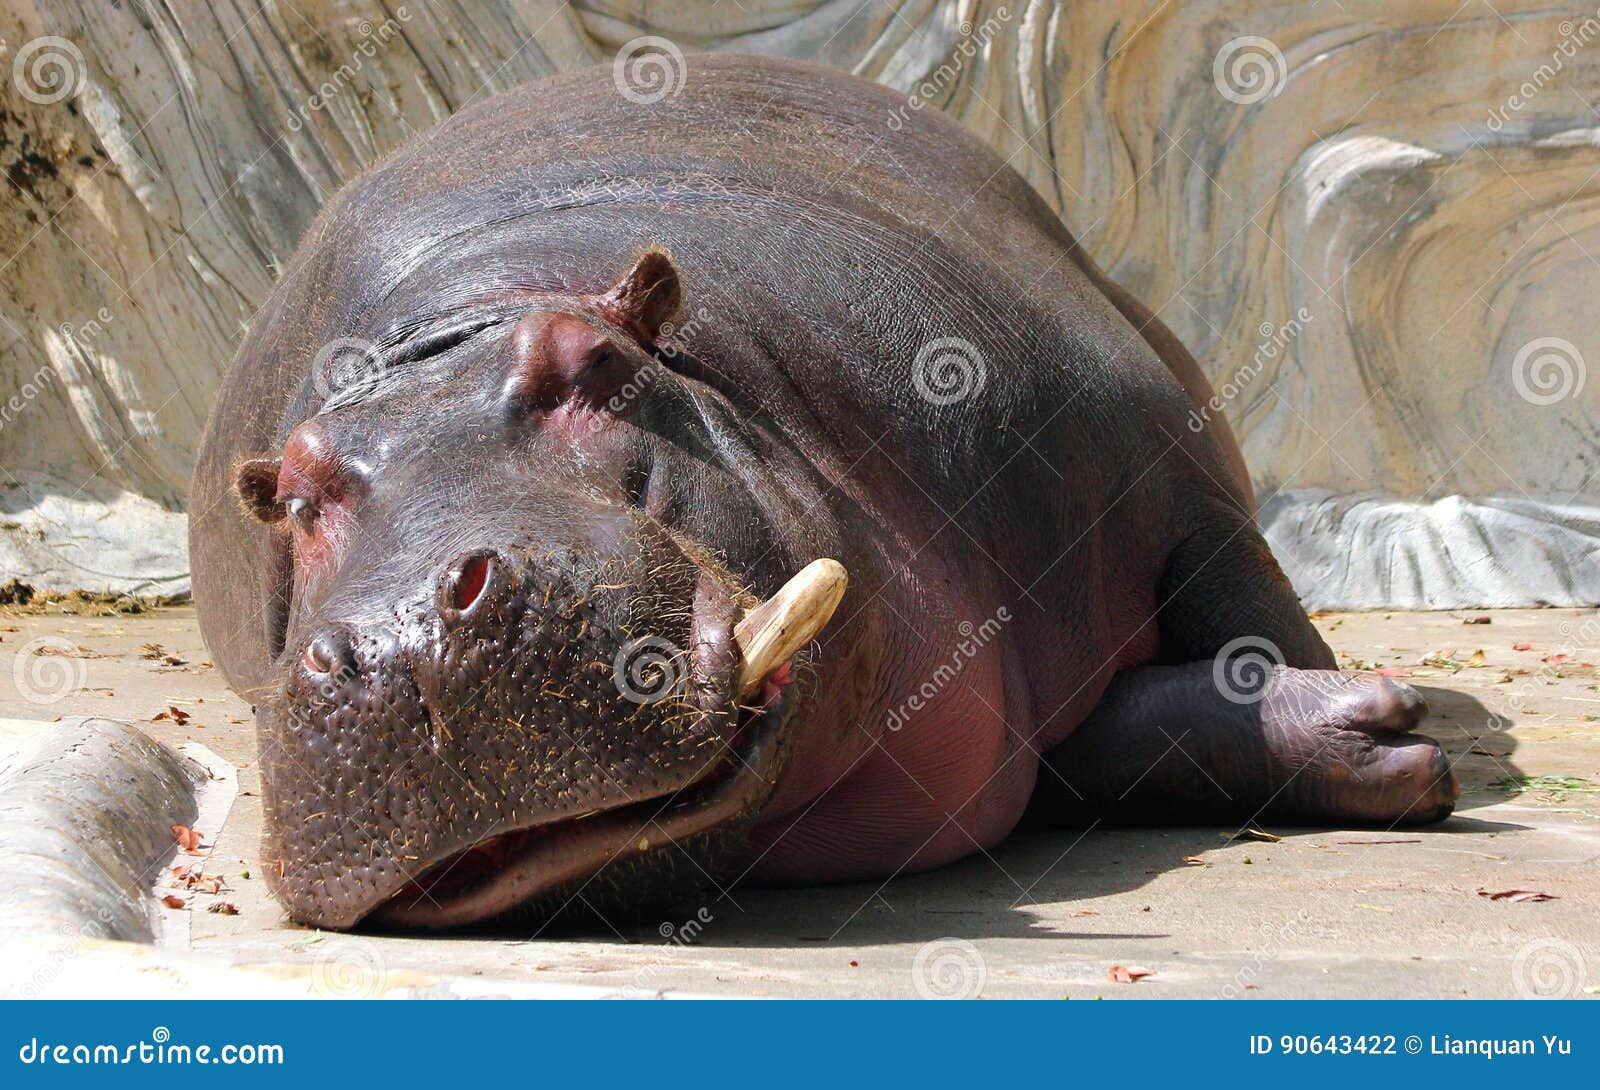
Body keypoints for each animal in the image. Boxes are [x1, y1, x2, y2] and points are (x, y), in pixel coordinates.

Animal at [189, 54, 1457, 931]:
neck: (457, 325)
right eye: (289, 494)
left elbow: (1249, 628)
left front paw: (1388, 729)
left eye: (593, 365)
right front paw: (1372, 728)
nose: (408, 637)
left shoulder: (1166, 472)